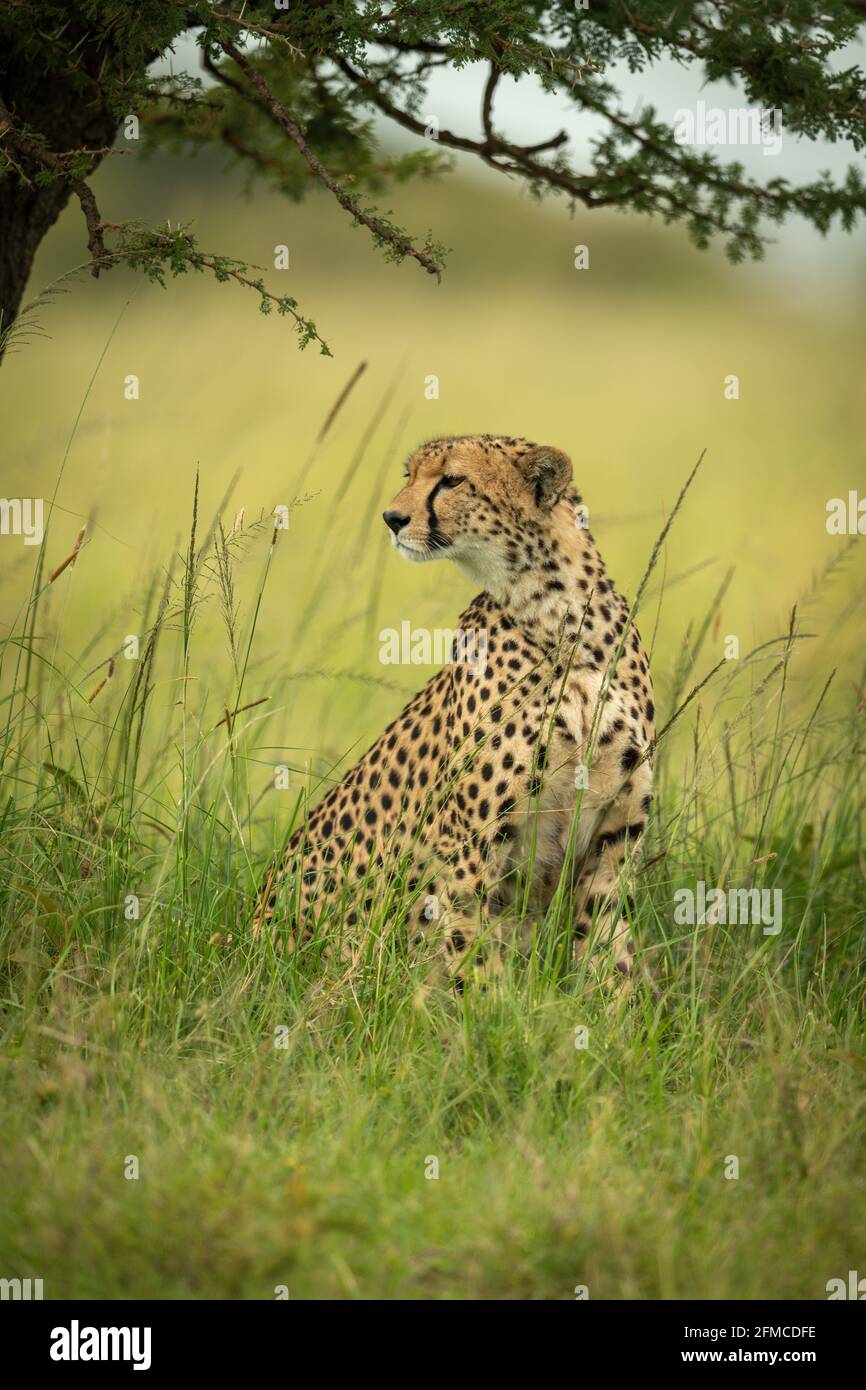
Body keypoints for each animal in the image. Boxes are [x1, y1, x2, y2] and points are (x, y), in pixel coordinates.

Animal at [256, 434, 655, 990]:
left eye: (451, 480)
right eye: (410, 475)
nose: (391, 517)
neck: (562, 620)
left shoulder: (616, 833)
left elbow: (608, 948)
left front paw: (612, 1004)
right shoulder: (472, 840)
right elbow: (473, 943)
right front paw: (483, 1006)